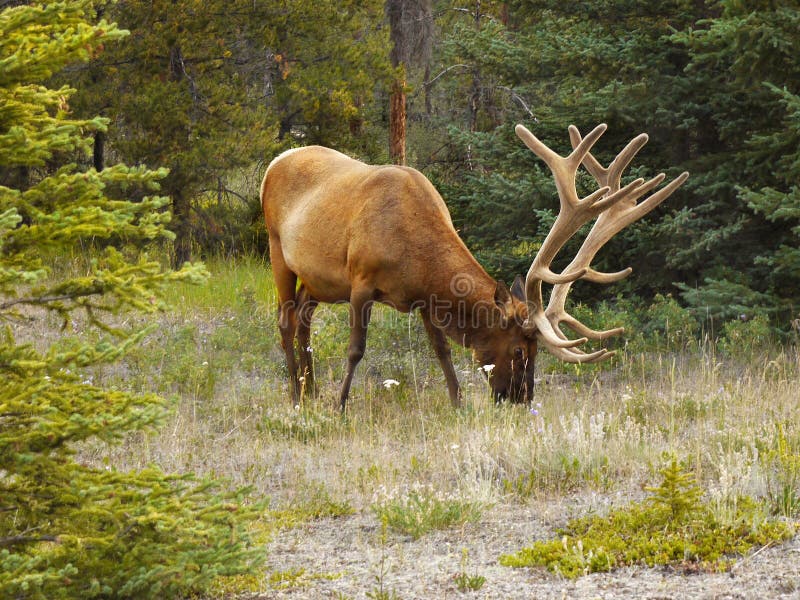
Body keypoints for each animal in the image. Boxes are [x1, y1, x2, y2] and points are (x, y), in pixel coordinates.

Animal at [260, 124, 688, 411]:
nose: (520, 399)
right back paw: (296, 394)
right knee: (285, 320)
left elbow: (442, 350)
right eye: (518, 350)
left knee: (303, 317)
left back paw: (310, 388)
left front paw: (458, 401)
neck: (416, 254)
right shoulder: (361, 281)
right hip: (277, 248)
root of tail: (275, 161)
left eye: (537, 351)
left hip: (319, 281)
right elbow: (355, 349)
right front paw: (341, 405)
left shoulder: (422, 297)